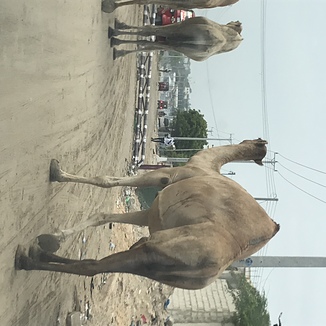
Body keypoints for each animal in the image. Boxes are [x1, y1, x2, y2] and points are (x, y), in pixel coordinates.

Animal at [15, 139, 280, 290]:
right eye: (259, 150)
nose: (257, 154)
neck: (209, 164)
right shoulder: (151, 214)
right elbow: (103, 215)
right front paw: (54, 237)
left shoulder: (164, 176)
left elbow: (107, 181)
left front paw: (57, 172)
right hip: (156, 269)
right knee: (97, 266)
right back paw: (39, 250)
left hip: (153, 251)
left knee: (93, 266)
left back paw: (27, 259)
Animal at [109, 17, 242, 61]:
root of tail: (211, 41)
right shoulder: (173, 41)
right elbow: (149, 46)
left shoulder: (175, 29)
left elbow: (148, 33)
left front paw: (119, 28)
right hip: (180, 46)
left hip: (176, 33)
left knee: (149, 31)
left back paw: (116, 43)